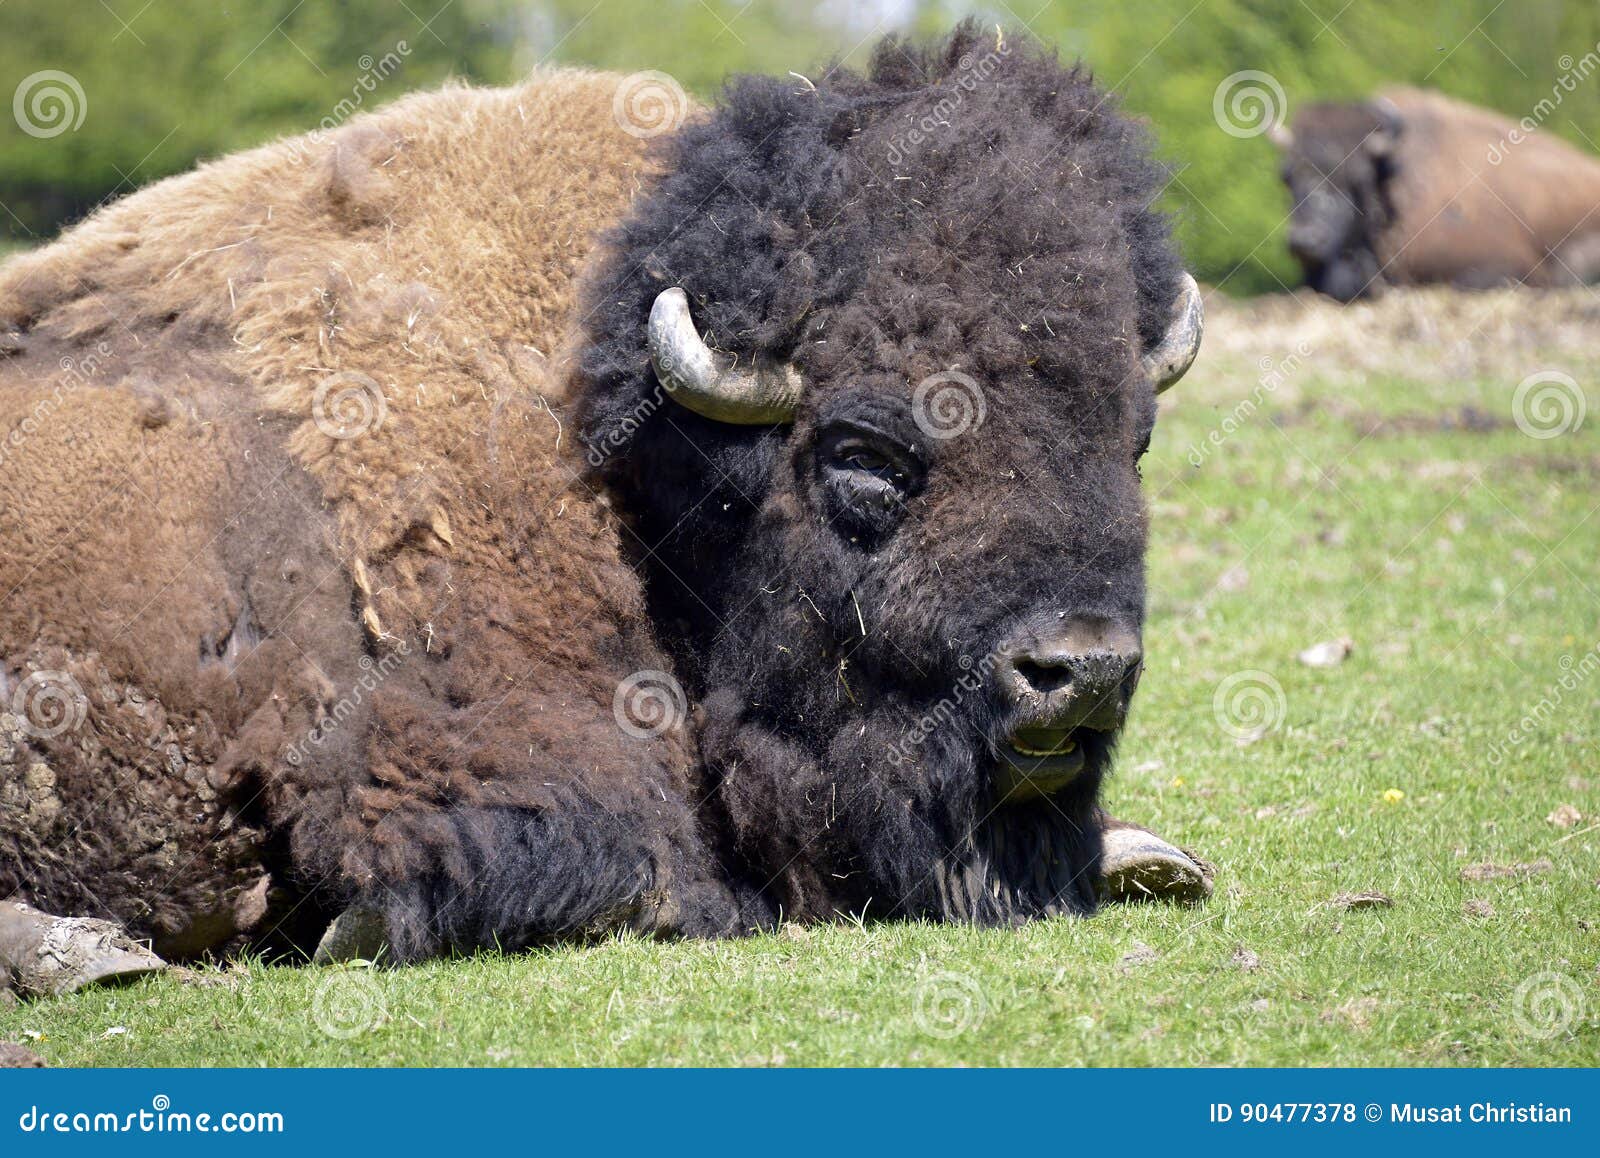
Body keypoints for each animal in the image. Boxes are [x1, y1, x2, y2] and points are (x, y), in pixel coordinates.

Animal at [0, 25, 1208, 998]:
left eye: (1132, 439)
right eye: (864, 455)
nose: (1081, 671)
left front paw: (1153, 858)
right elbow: (620, 858)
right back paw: (93, 958)